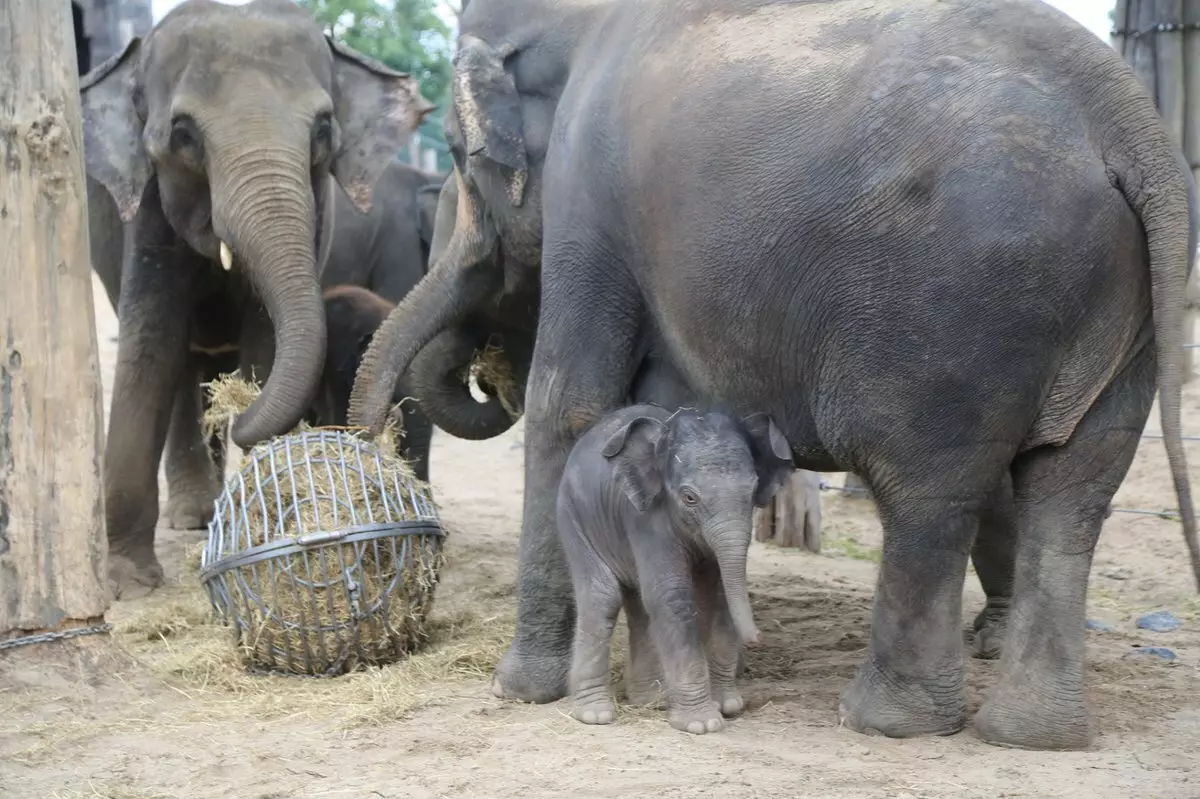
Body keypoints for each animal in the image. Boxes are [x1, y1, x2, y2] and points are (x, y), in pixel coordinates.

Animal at [82, 0, 434, 597]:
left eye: (323, 129)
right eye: (183, 135)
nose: (239, 416)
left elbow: (265, 342)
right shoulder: (146, 211)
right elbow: (150, 345)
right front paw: (131, 585)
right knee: (182, 365)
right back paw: (194, 515)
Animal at [554, 400, 796, 729]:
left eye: (753, 488)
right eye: (690, 498)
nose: (759, 638)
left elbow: (717, 595)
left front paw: (728, 706)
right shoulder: (646, 518)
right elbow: (671, 595)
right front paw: (702, 724)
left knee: (638, 603)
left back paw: (651, 700)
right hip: (573, 515)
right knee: (602, 596)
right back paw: (596, 714)